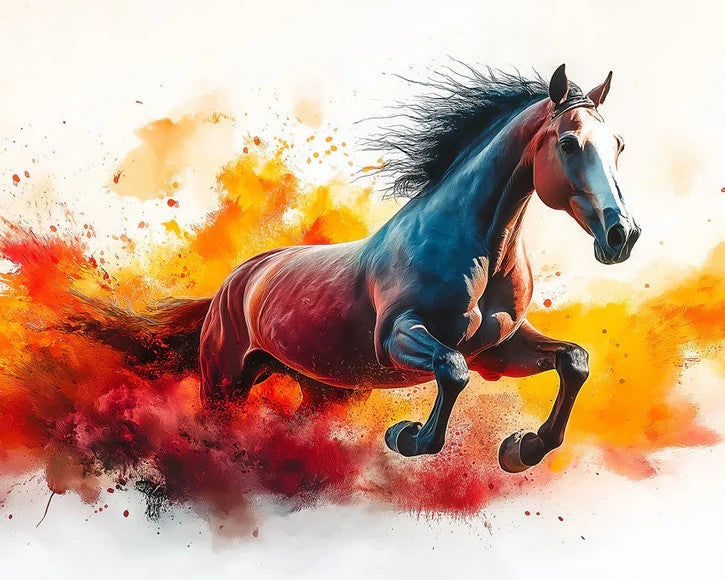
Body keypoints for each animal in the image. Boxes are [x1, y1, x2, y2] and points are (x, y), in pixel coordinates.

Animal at [79, 64, 640, 473]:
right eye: (568, 143)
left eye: (618, 146)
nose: (622, 235)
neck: (476, 249)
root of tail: (233, 282)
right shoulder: (397, 338)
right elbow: (451, 370)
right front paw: (406, 436)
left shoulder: (499, 350)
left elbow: (574, 360)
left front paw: (522, 448)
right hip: (224, 382)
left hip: (317, 386)